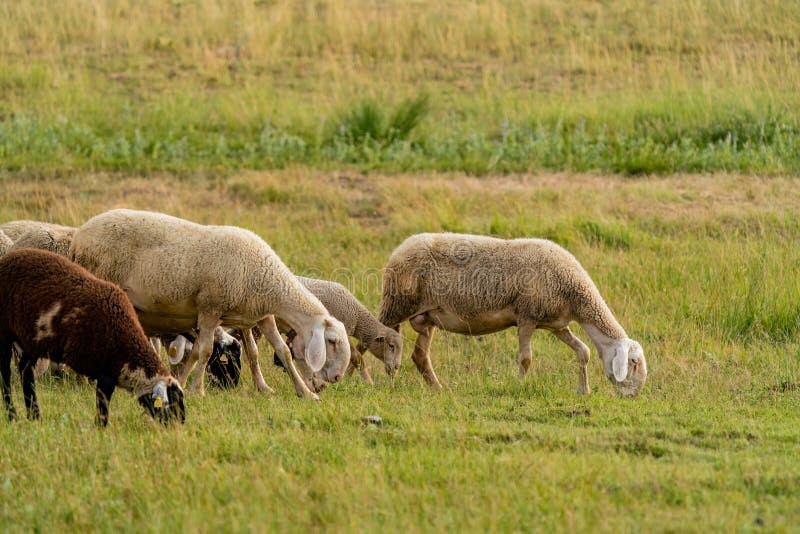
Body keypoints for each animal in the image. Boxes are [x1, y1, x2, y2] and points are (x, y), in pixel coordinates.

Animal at [0, 249, 185, 426]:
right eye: (171, 405)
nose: (178, 429)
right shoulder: (105, 372)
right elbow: (102, 408)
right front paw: (100, 430)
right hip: (5, 333)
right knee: (6, 376)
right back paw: (12, 416)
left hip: (30, 340)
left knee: (26, 372)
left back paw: (35, 417)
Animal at [69, 209, 350, 400]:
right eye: (332, 341)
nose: (337, 377)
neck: (266, 279)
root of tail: (78, 238)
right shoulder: (210, 309)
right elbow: (203, 352)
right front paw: (196, 389)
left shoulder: (261, 316)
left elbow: (282, 351)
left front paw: (303, 393)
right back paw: (85, 380)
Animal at [378, 233, 647, 397]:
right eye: (634, 362)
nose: (634, 396)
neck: (573, 292)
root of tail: (399, 249)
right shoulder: (527, 317)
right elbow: (526, 359)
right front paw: (519, 387)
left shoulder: (557, 324)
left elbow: (584, 351)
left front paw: (584, 391)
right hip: (396, 304)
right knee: (375, 337)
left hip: (427, 316)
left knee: (419, 355)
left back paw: (437, 388)